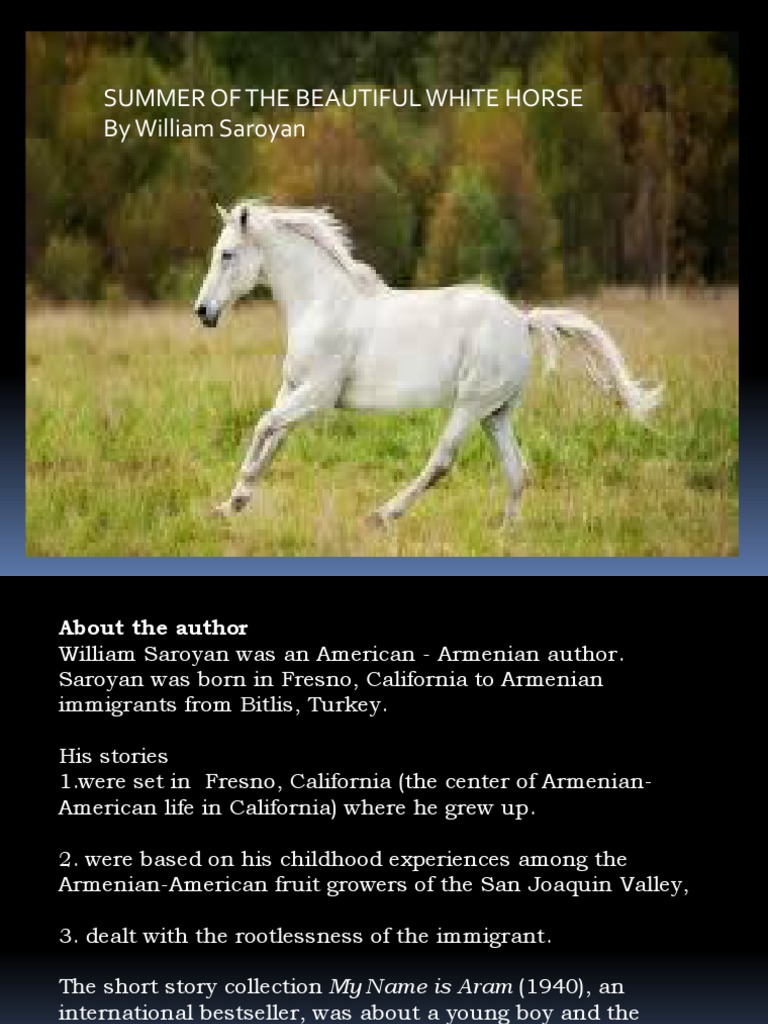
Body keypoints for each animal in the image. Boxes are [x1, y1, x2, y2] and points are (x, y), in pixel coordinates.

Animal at [194, 201, 662, 522]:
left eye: (227, 254)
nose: (203, 312)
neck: (324, 305)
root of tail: (521, 320)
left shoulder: (318, 395)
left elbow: (264, 425)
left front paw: (240, 493)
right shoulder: (293, 389)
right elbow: (274, 436)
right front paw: (231, 504)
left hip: (470, 405)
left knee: (441, 462)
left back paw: (383, 516)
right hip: (496, 414)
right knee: (517, 472)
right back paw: (505, 534)